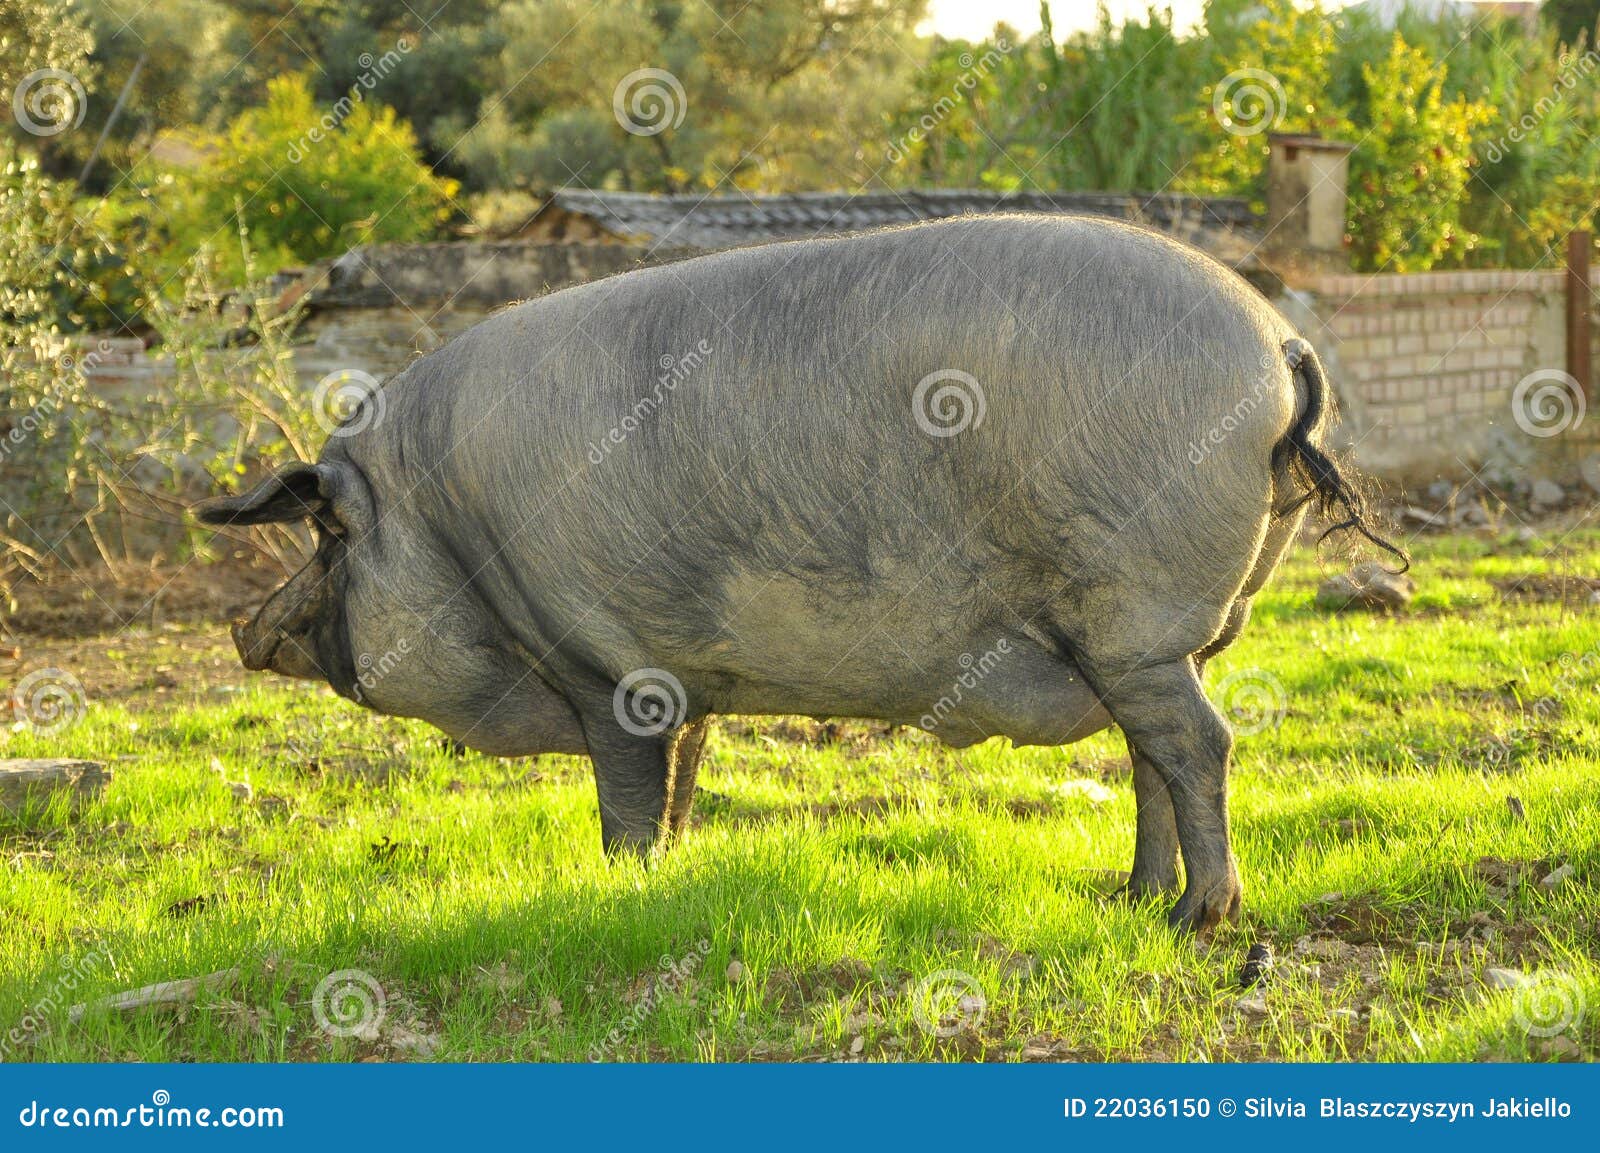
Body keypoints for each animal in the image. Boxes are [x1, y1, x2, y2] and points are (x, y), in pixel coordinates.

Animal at [195, 214, 1404, 930]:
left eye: (329, 534)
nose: (245, 630)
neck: (448, 524)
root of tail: (1279, 346)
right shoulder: (679, 676)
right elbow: (682, 779)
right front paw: (670, 875)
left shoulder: (596, 658)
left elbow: (625, 798)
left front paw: (617, 887)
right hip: (1165, 633)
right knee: (1157, 751)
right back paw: (1133, 902)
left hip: (1131, 613)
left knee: (1198, 744)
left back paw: (1204, 919)